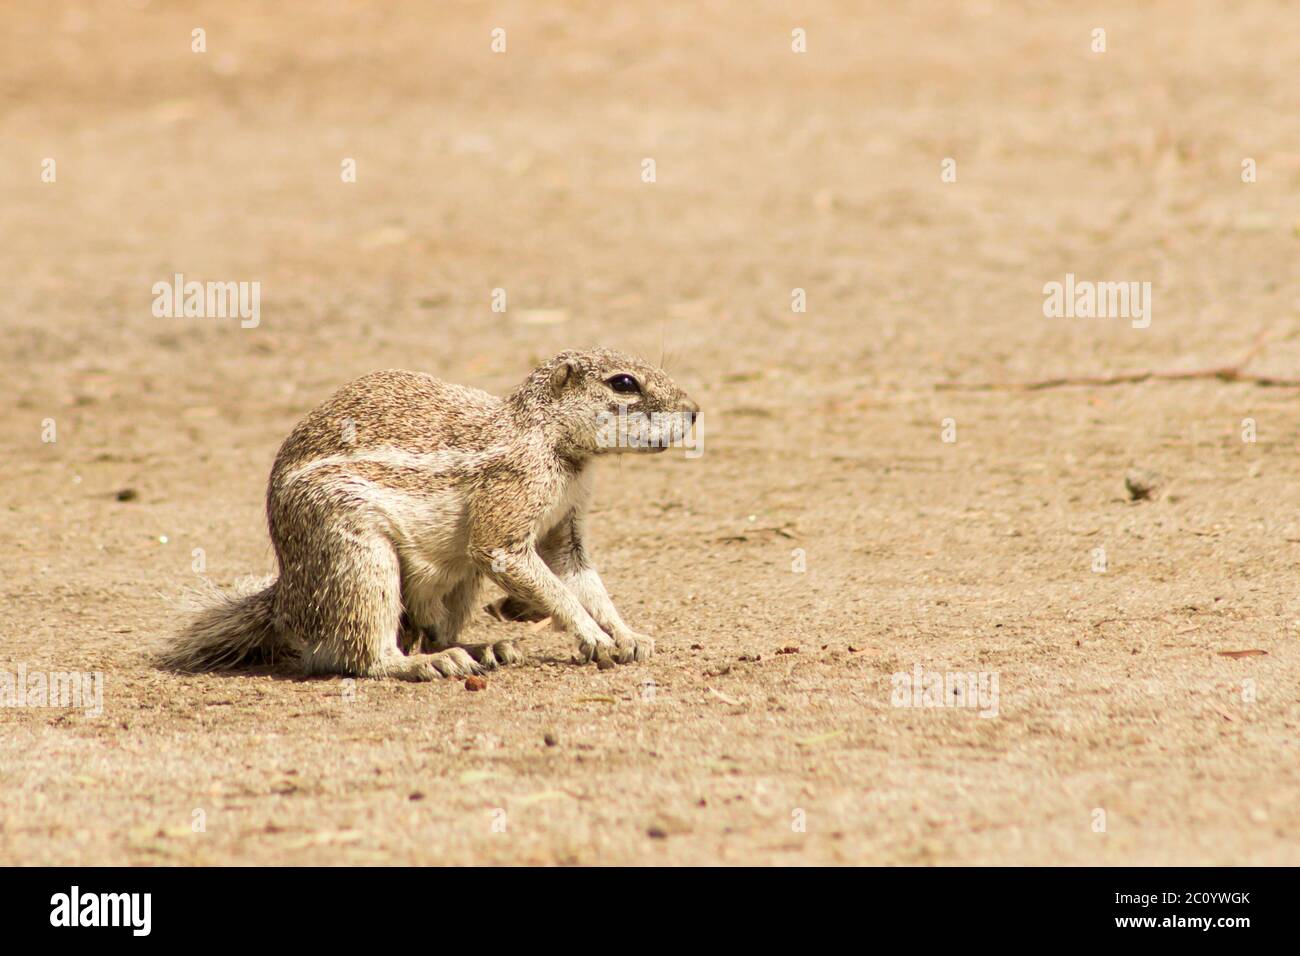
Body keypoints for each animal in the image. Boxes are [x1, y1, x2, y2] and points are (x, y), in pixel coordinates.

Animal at [160, 348, 700, 681]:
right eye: (624, 383)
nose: (695, 411)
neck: (552, 442)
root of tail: (286, 600)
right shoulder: (506, 518)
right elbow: (552, 586)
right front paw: (592, 636)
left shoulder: (564, 530)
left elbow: (584, 580)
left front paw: (627, 635)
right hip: (359, 558)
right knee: (364, 656)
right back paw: (424, 666)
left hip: (456, 582)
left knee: (434, 631)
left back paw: (484, 650)